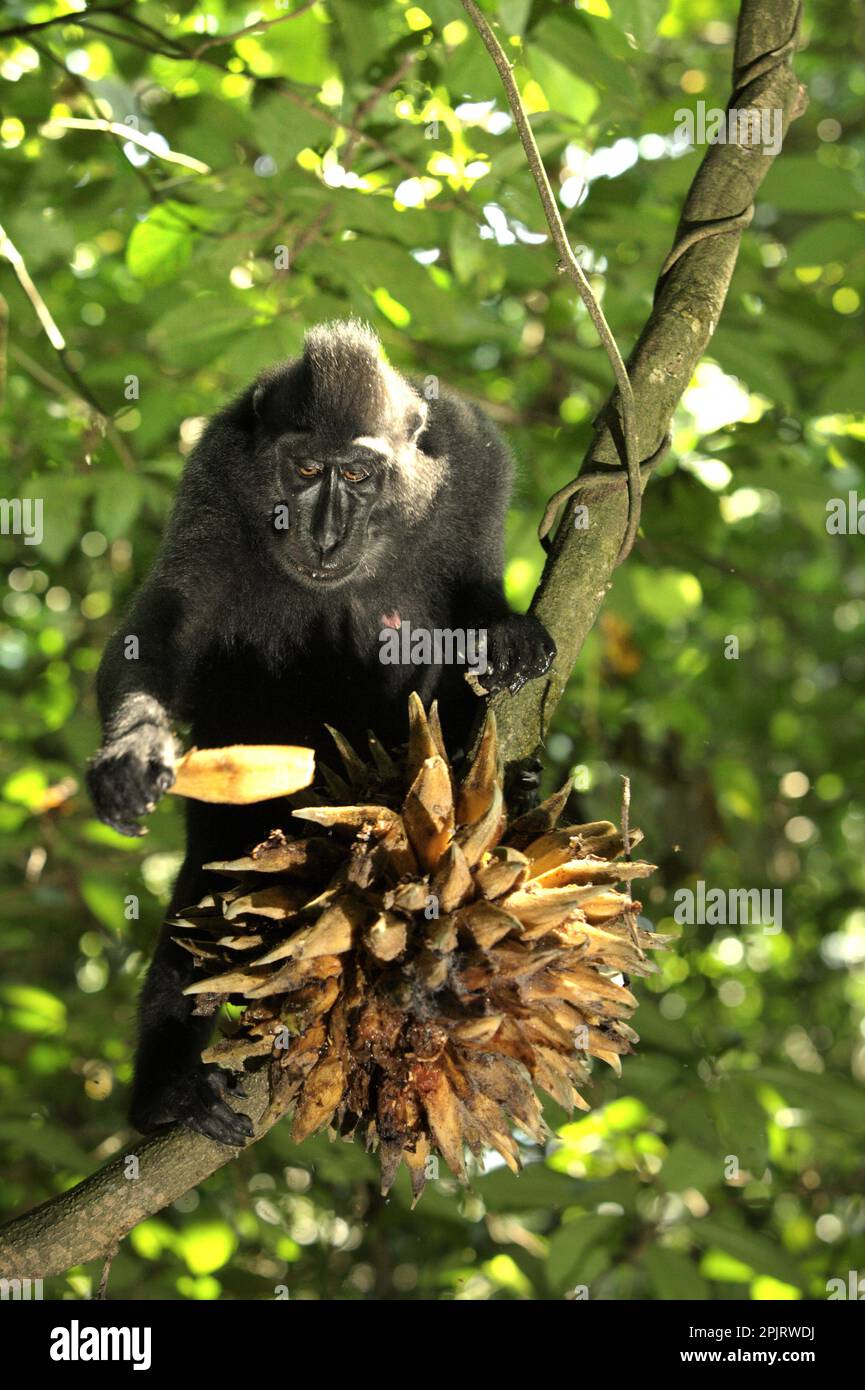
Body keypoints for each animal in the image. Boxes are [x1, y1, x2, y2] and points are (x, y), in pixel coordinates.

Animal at [87, 320, 555, 1145]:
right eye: (305, 469)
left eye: (360, 477)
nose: (326, 533)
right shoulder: (215, 479)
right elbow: (165, 626)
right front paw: (130, 752)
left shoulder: (474, 464)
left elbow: (470, 603)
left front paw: (506, 636)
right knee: (209, 889)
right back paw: (168, 1091)